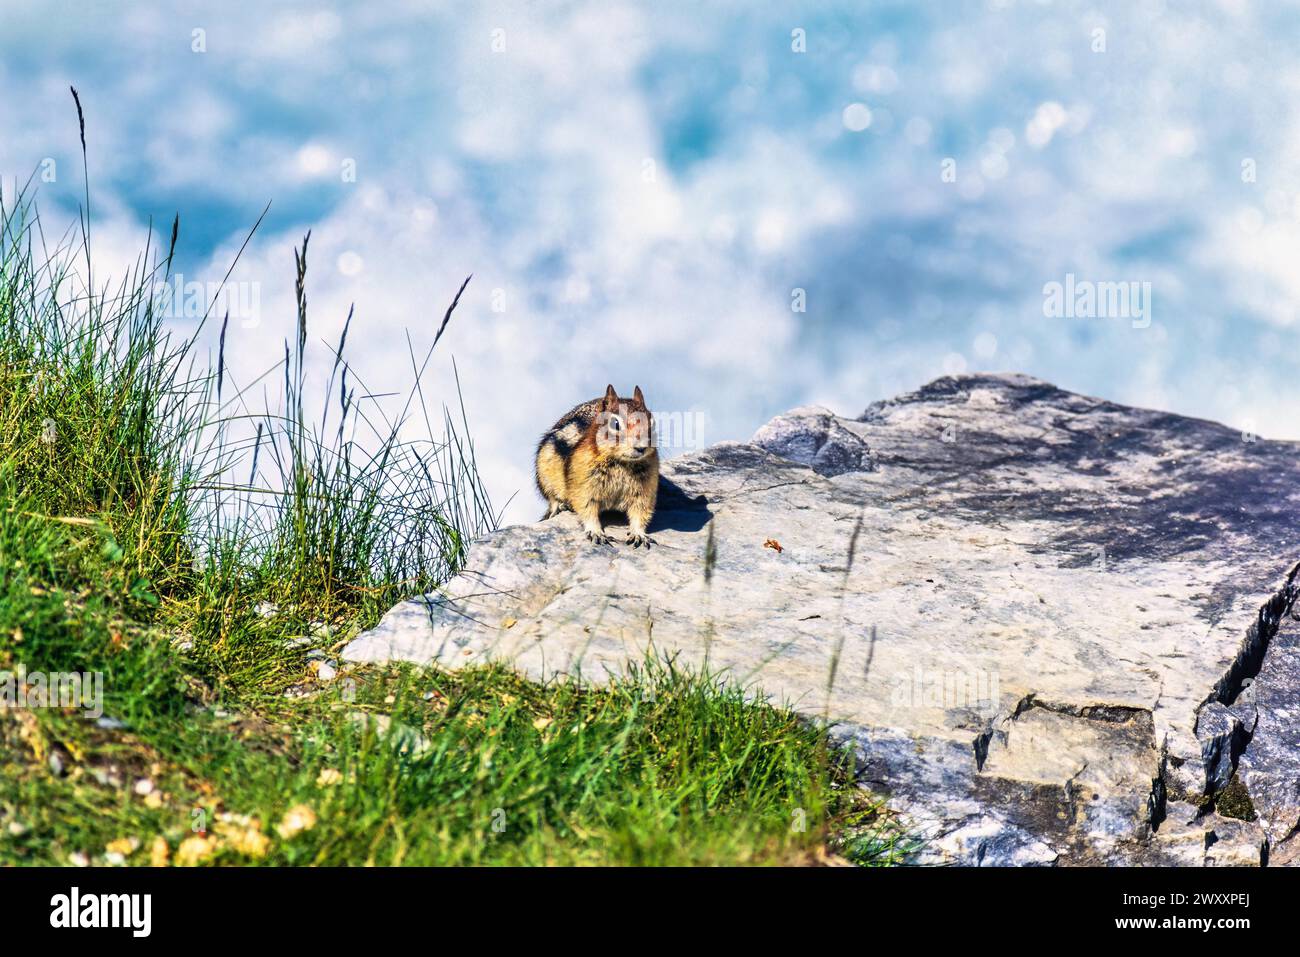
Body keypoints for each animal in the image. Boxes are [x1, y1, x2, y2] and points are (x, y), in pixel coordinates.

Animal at [535, 384, 659, 547]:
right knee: (552, 499)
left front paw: (639, 534)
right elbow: (587, 509)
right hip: (544, 473)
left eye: (652, 422)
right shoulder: (584, 485)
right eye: (615, 424)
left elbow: (641, 512)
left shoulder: (645, 491)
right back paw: (561, 506)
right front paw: (596, 533)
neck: (622, 463)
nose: (641, 448)